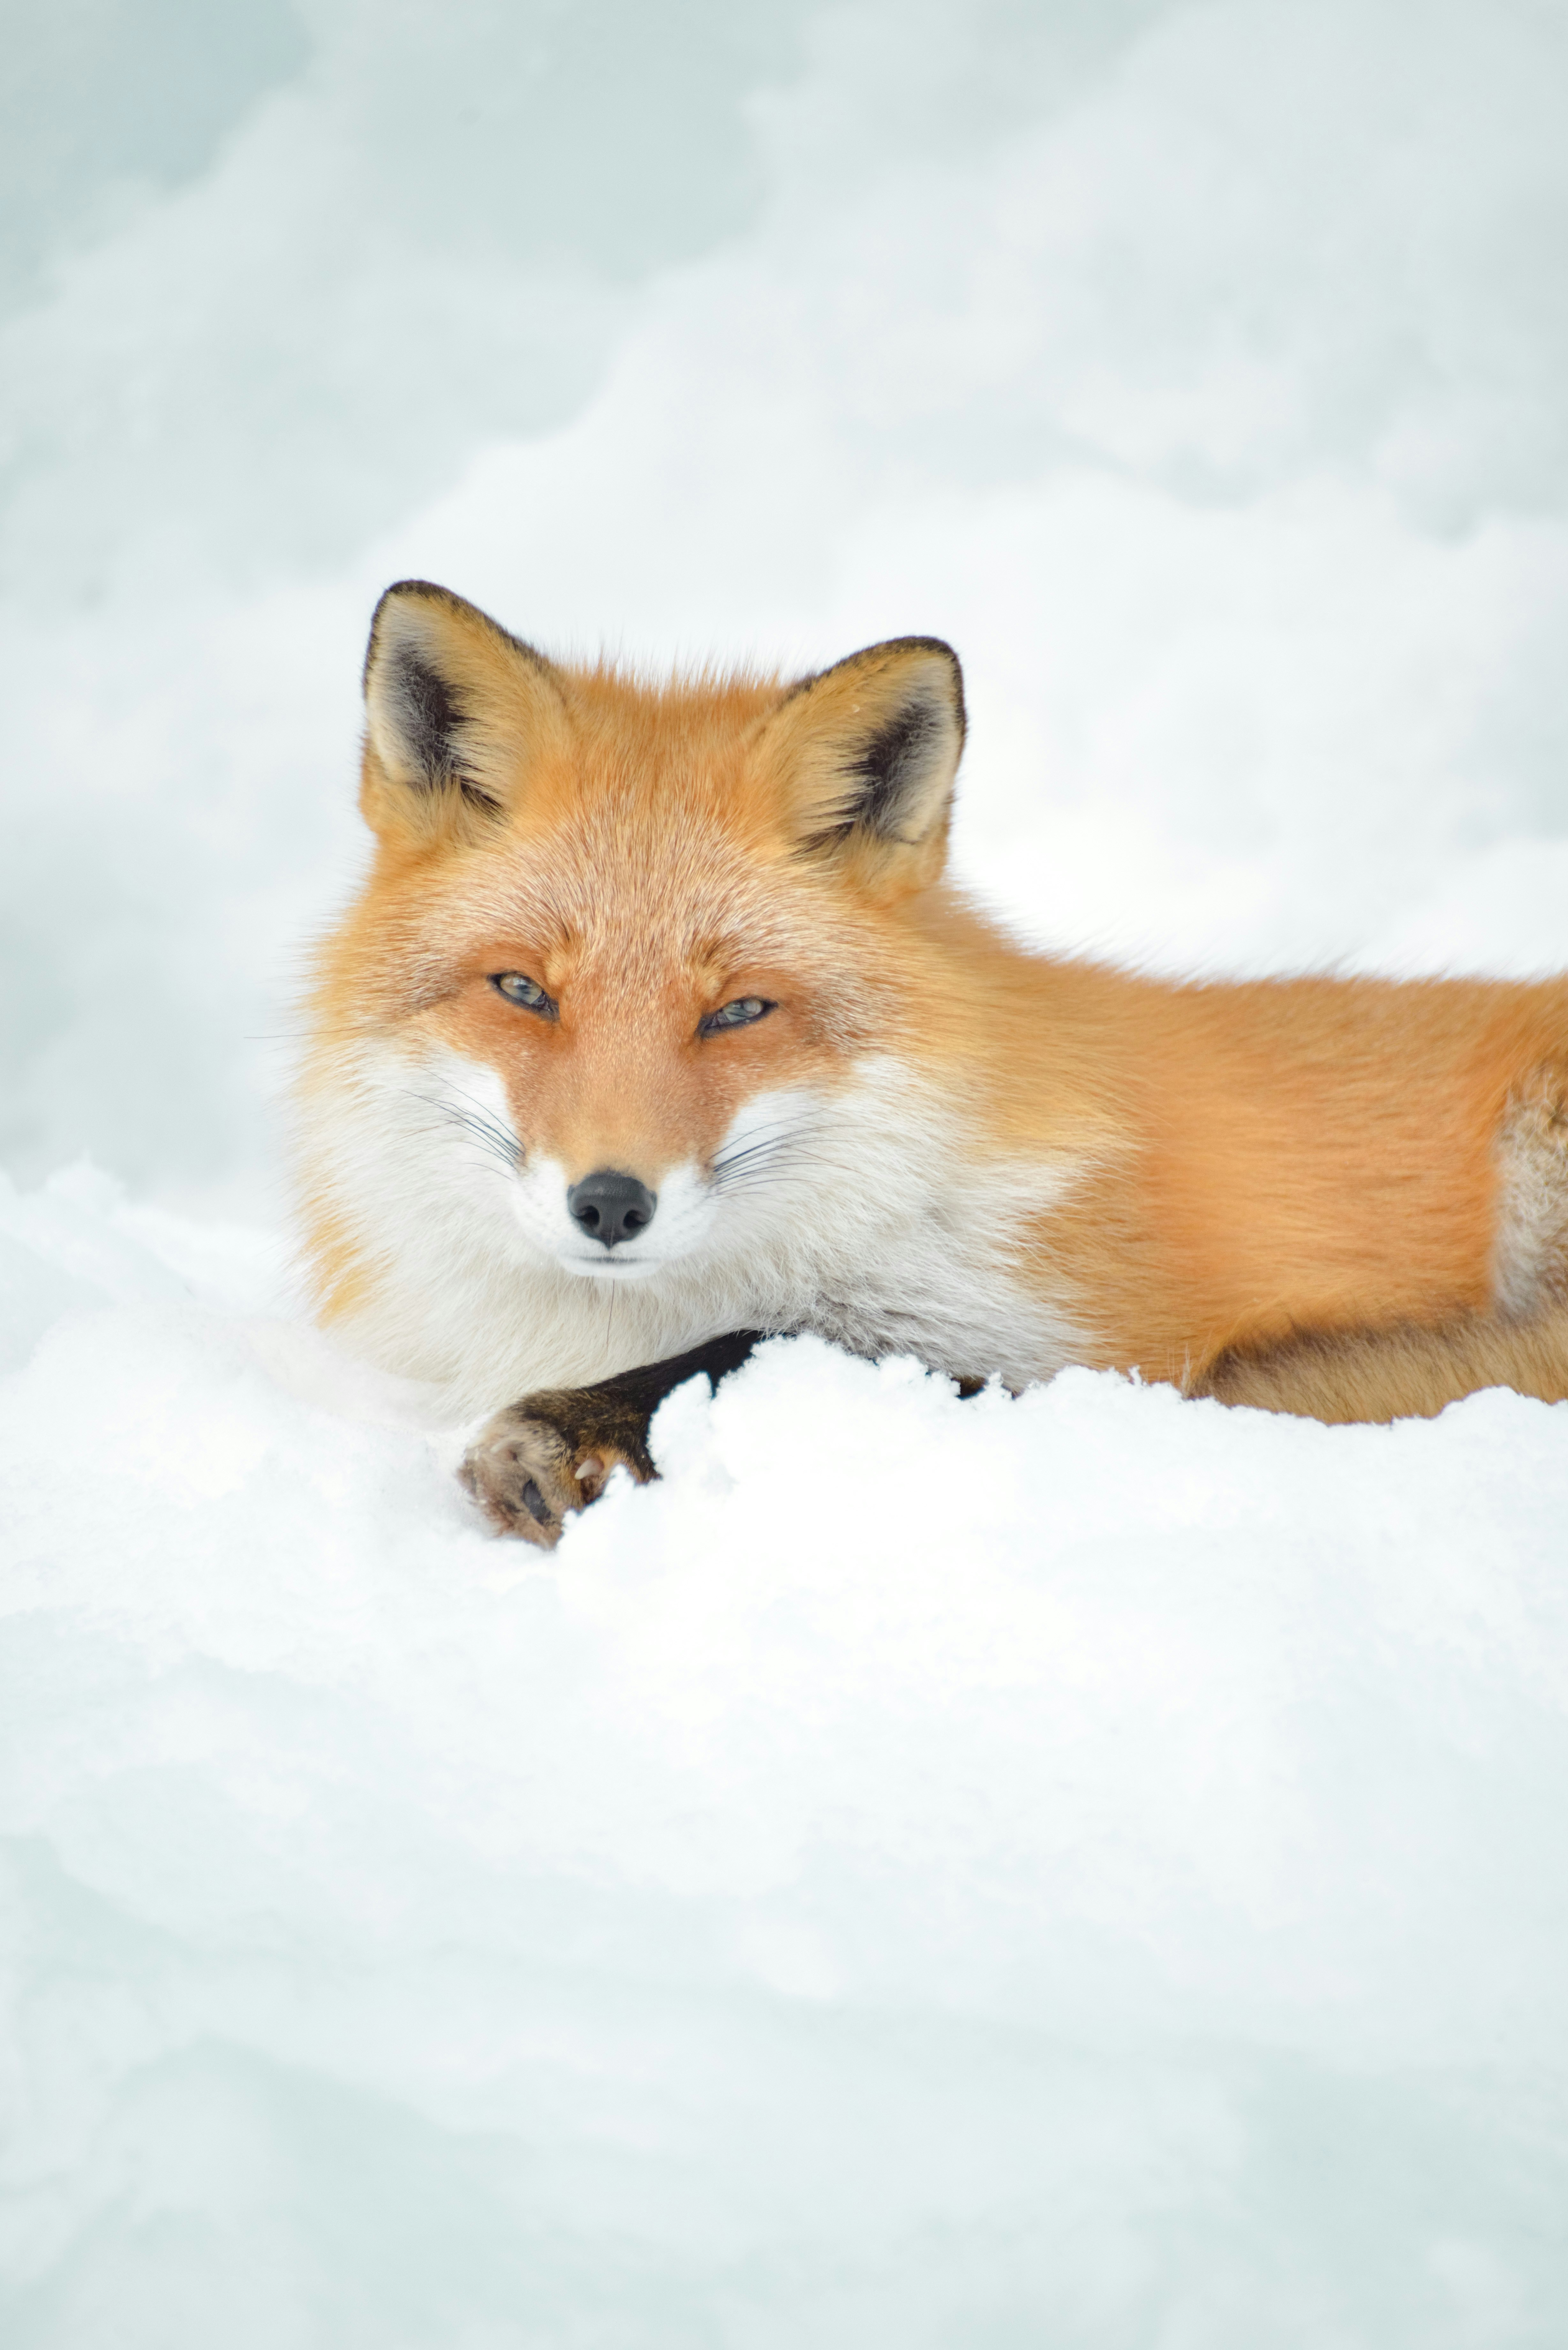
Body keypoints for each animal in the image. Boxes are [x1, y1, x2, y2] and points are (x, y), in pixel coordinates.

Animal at [295, 579, 1568, 1544]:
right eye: (525, 992)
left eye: (739, 1011)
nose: (609, 1203)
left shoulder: (1080, 1332)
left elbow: (798, 1340)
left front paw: (577, 1426)